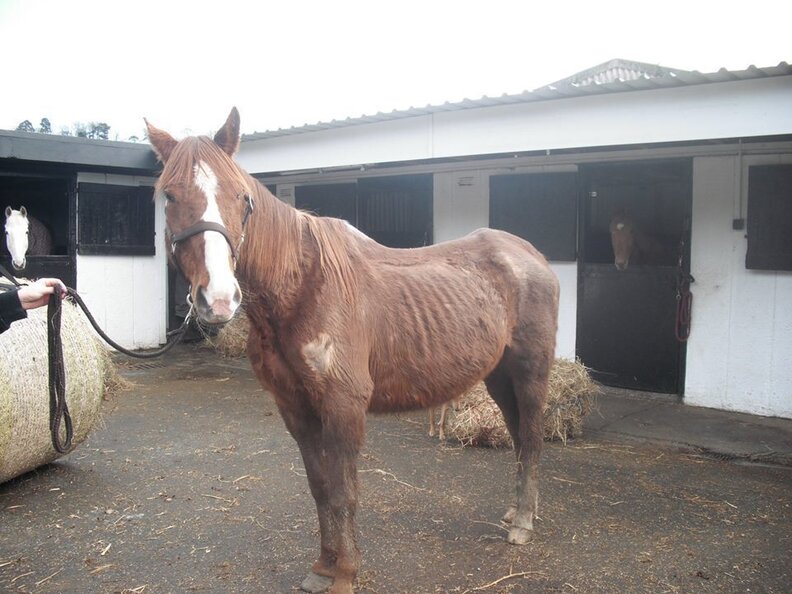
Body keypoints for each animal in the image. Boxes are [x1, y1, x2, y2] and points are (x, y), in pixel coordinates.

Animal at [146, 108, 559, 594]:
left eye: (242, 197)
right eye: (170, 196)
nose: (219, 299)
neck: (304, 287)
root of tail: (530, 255)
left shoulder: (343, 405)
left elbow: (344, 491)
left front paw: (344, 573)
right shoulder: (296, 408)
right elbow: (320, 487)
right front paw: (323, 566)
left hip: (530, 372)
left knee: (532, 437)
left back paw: (523, 524)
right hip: (498, 376)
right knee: (518, 436)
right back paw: (516, 511)